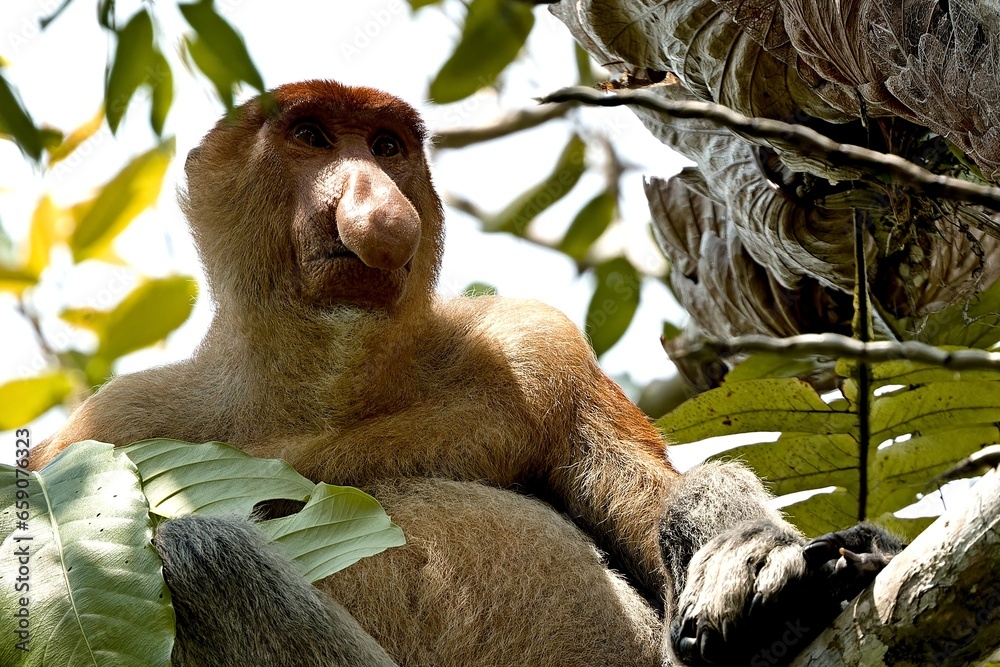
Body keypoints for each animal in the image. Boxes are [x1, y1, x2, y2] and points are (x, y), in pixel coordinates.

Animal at [31, 80, 901, 667]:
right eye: (311, 135)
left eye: (385, 146)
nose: (375, 200)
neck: (328, 384)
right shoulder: (104, 429)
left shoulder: (537, 352)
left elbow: (653, 505)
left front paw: (752, 555)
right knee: (196, 555)